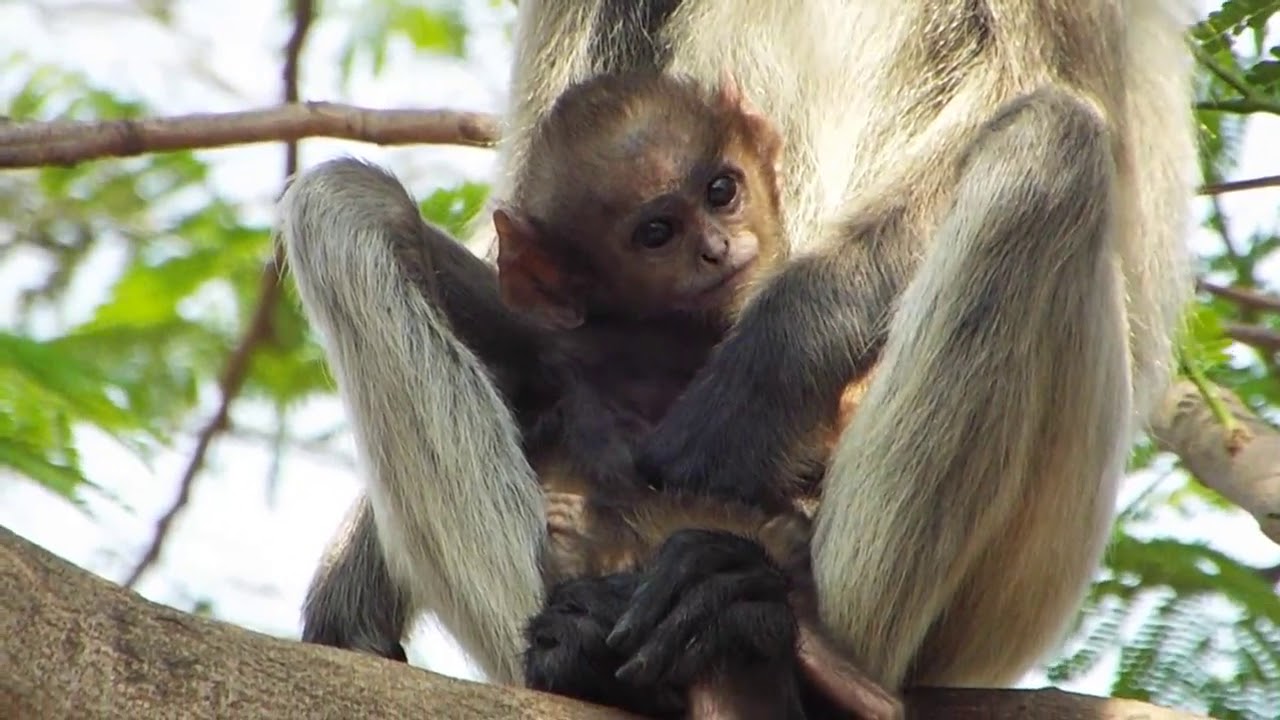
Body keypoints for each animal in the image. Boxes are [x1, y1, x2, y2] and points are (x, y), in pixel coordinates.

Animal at [280, 0, 1197, 696]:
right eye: (656, 233)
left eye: (723, 192)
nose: (717, 250)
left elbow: (1051, 90)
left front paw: (750, 390)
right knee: (341, 203)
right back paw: (589, 652)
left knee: (1051, 139)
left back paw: (813, 647)